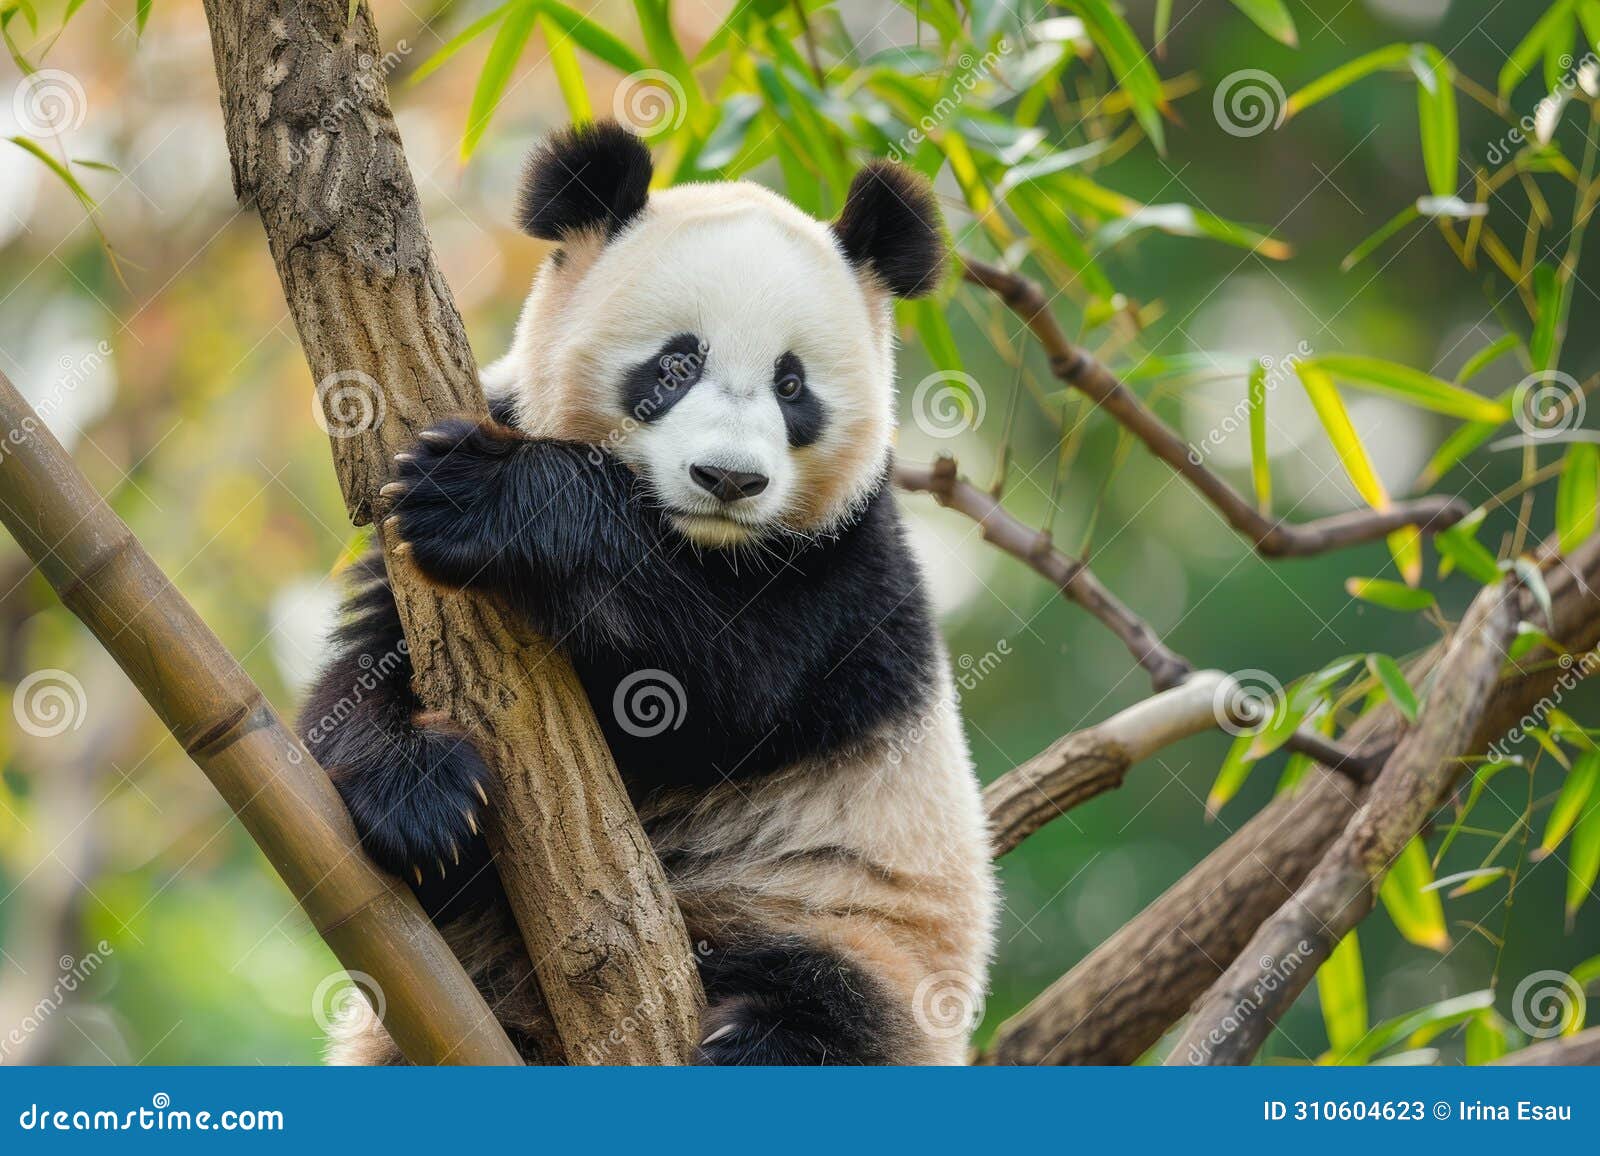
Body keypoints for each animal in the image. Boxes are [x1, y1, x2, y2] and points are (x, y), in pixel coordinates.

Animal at [300, 121, 997, 1066]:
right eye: (675, 364)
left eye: (792, 385)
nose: (729, 479)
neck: (696, 543)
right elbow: (352, 688)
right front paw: (424, 800)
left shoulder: (847, 574)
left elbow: (723, 687)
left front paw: (493, 499)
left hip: (861, 927)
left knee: (839, 1006)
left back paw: (756, 1042)